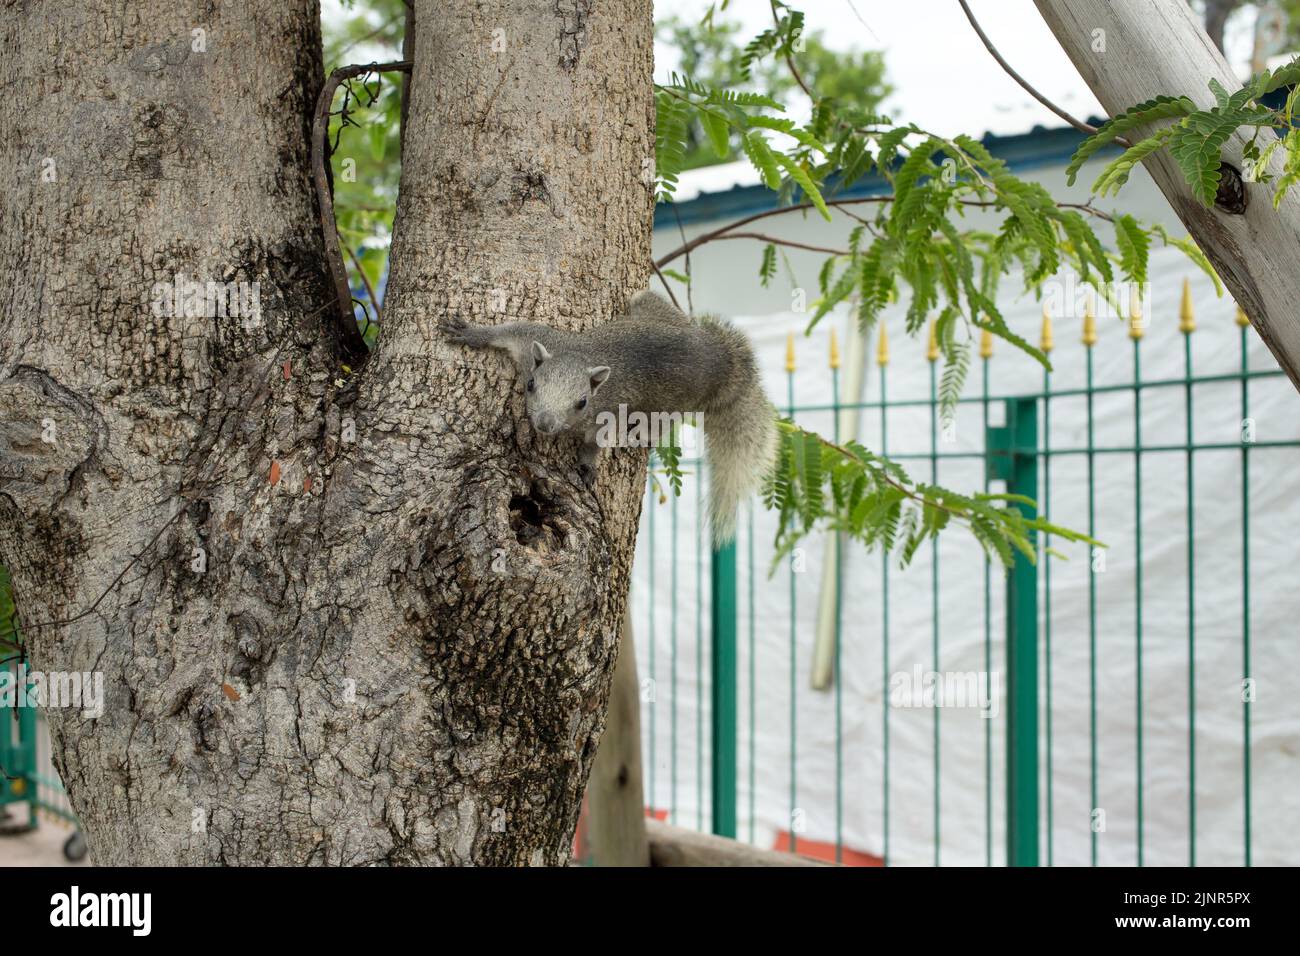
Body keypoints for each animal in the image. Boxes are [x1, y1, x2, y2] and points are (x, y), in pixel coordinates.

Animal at [443, 289, 778, 543]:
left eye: (582, 402)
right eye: (531, 384)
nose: (545, 424)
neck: (581, 359)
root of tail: (717, 361)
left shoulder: (609, 412)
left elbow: (596, 442)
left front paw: (587, 465)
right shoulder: (535, 342)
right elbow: (509, 330)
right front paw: (470, 333)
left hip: (674, 404)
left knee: (665, 422)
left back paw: (642, 433)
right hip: (651, 307)